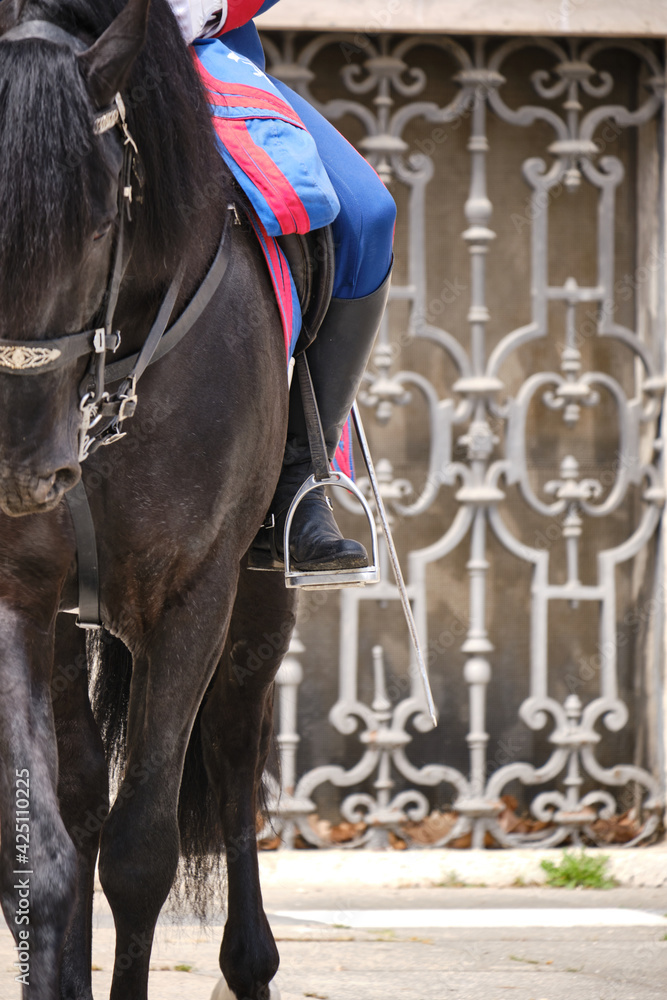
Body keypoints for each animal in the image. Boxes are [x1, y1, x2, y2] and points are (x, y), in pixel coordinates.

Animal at [0, 0, 298, 996]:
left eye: (100, 224)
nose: (18, 467)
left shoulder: (193, 599)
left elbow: (141, 856)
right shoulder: (16, 592)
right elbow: (43, 856)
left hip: (256, 614)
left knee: (235, 760)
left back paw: (249, 961)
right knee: (84, 795)